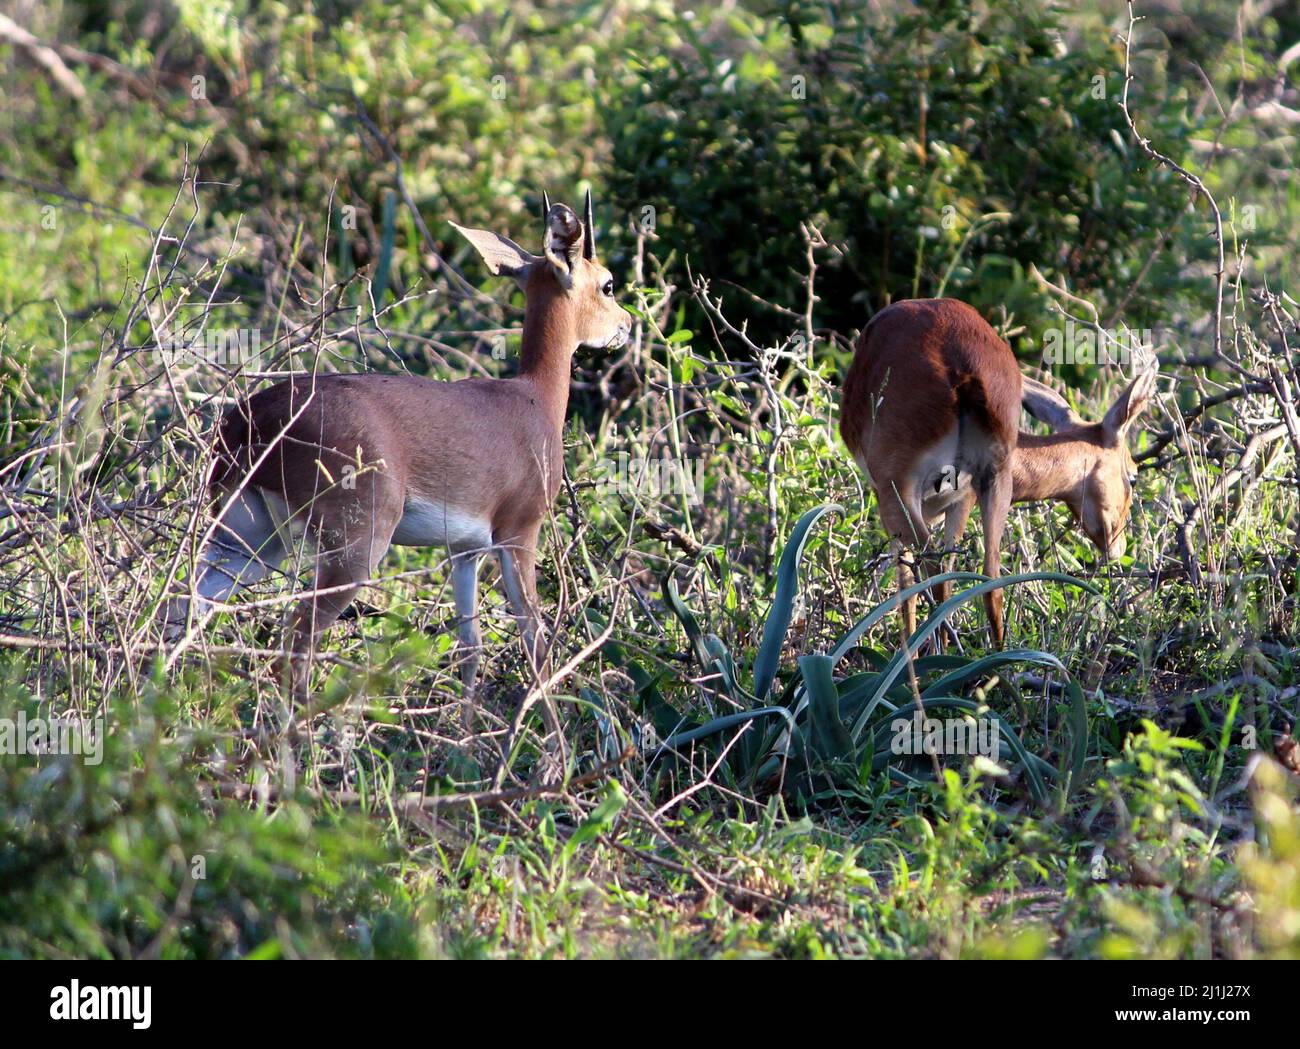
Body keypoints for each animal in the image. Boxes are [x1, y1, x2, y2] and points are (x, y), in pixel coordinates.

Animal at [167, 192, 631, 706]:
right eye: (609, 284)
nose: (627, 325)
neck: (533, 398)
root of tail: (248, 420)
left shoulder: (464, 550)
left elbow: (470, 648)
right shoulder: (518, 532)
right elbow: (535, 641)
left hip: (250, 542)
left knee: (179, 608)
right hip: (352, 550)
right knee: (292, 650)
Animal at [839, 298, 1157, 646]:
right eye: (1133, 476)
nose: (1119, 547)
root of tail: (959, 361)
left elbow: (905, 582)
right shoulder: (960, 499)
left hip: (899, 494)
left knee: (933, 572)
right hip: (993, 483)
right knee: (988, 581)